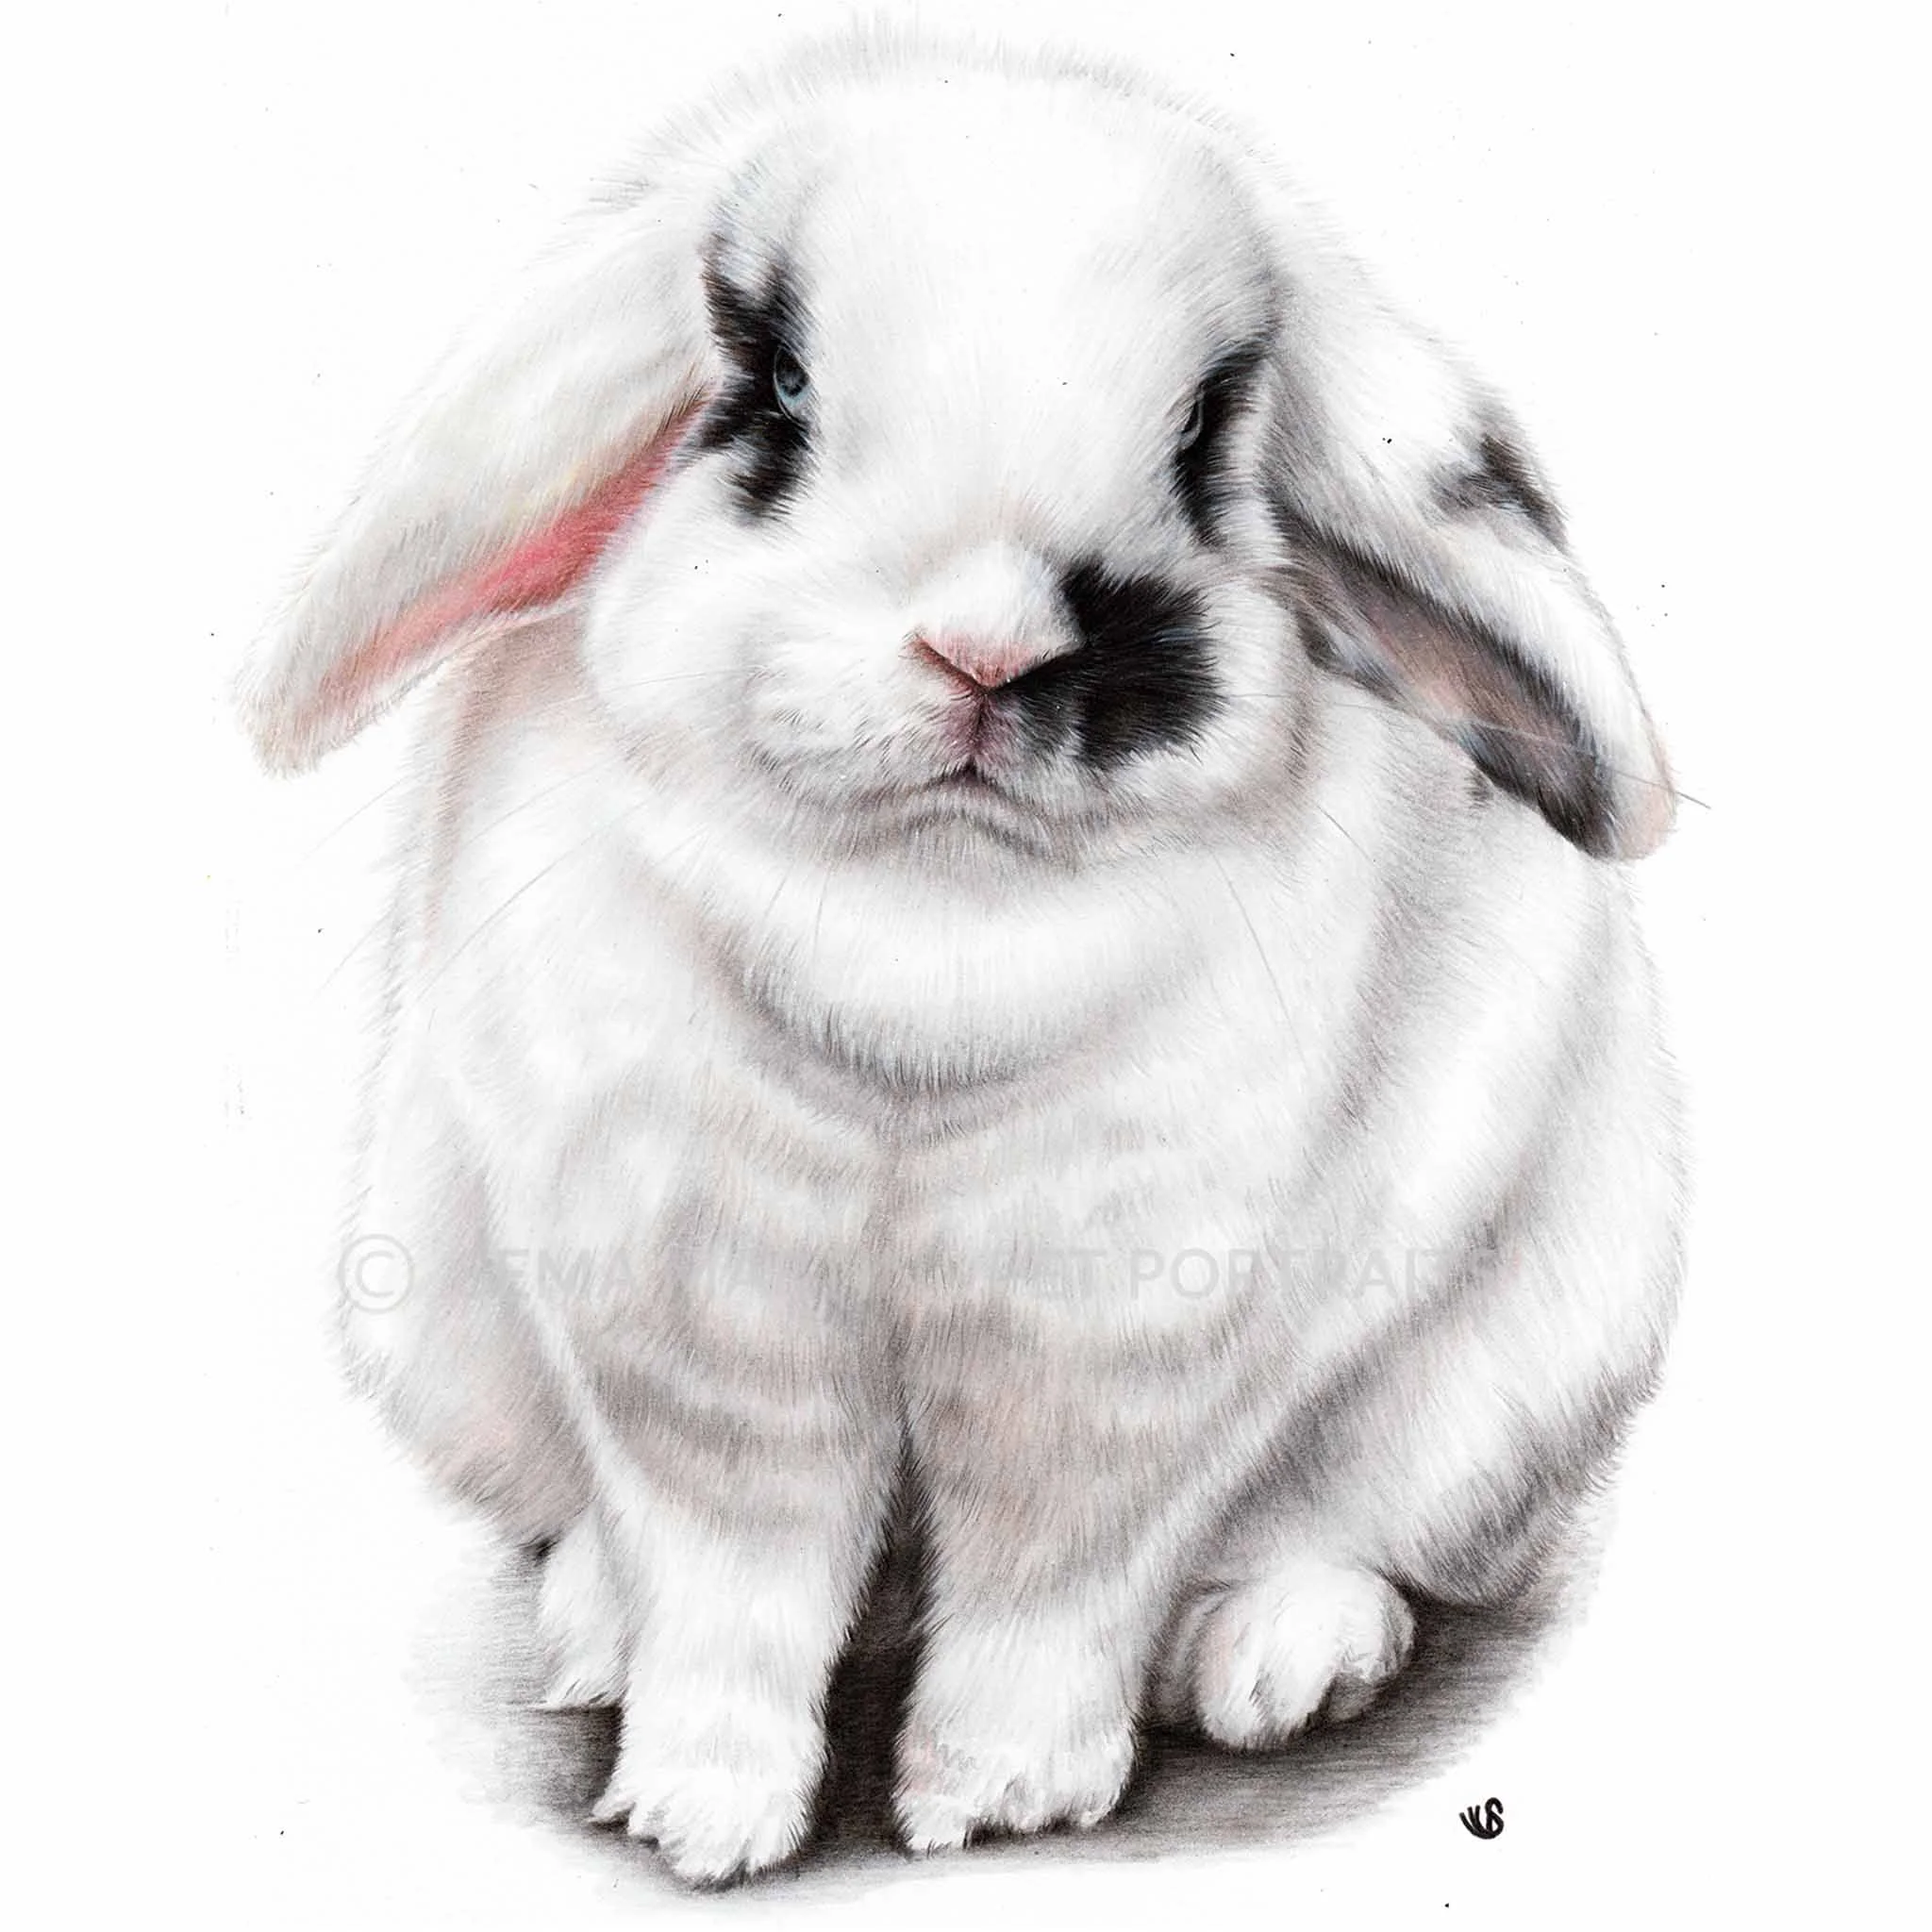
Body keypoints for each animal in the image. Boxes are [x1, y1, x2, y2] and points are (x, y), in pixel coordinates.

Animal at [242, 27, 1683, 1886]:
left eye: (1209, 434)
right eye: (775, 390)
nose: (992, 648)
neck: (927, 931)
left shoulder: (1113, 1345)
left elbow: (1050, 1585)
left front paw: (996, 1797)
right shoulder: (706, 1335)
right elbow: (738, 1581)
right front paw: (699, 1814)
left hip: (1516, 1381)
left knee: (1352, 1531)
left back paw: (1279, 1659)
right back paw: (591, 1631)